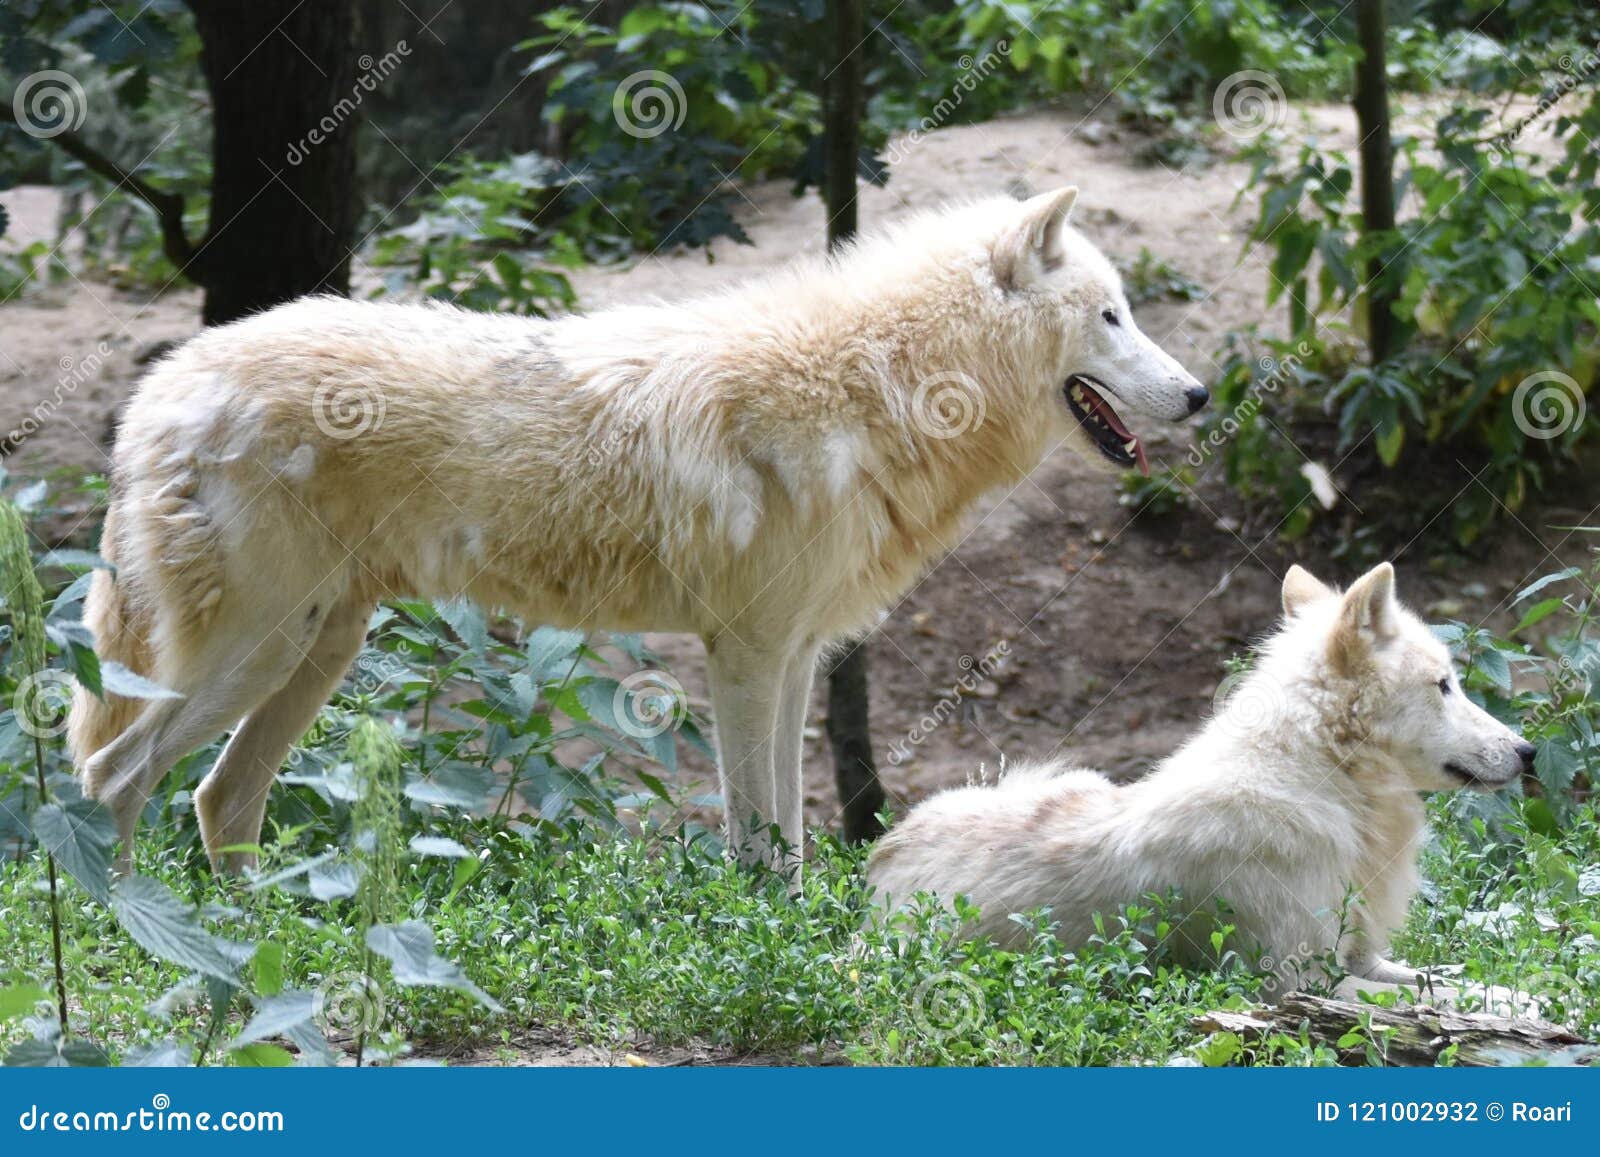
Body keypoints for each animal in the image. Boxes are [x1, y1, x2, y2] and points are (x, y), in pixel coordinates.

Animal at [68, 186, 1206, 874]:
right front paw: (765, 953)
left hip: (314, 651)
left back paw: (258, 952)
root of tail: (162, 385)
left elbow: (793, 838)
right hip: (256, 650)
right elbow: (757, 842)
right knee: (114, 776)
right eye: (1112, 316)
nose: (1197, 394)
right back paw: (143, 935)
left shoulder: (796, 657)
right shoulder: (745, 653)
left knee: (218, 798)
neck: (875, 385)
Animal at [868, 562, 1534, 993]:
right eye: (1443, 686)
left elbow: (1466, 988)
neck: (1323, 784)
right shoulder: (1298, 984)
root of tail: (876, 863)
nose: (1527, 752)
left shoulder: (1363, 961)